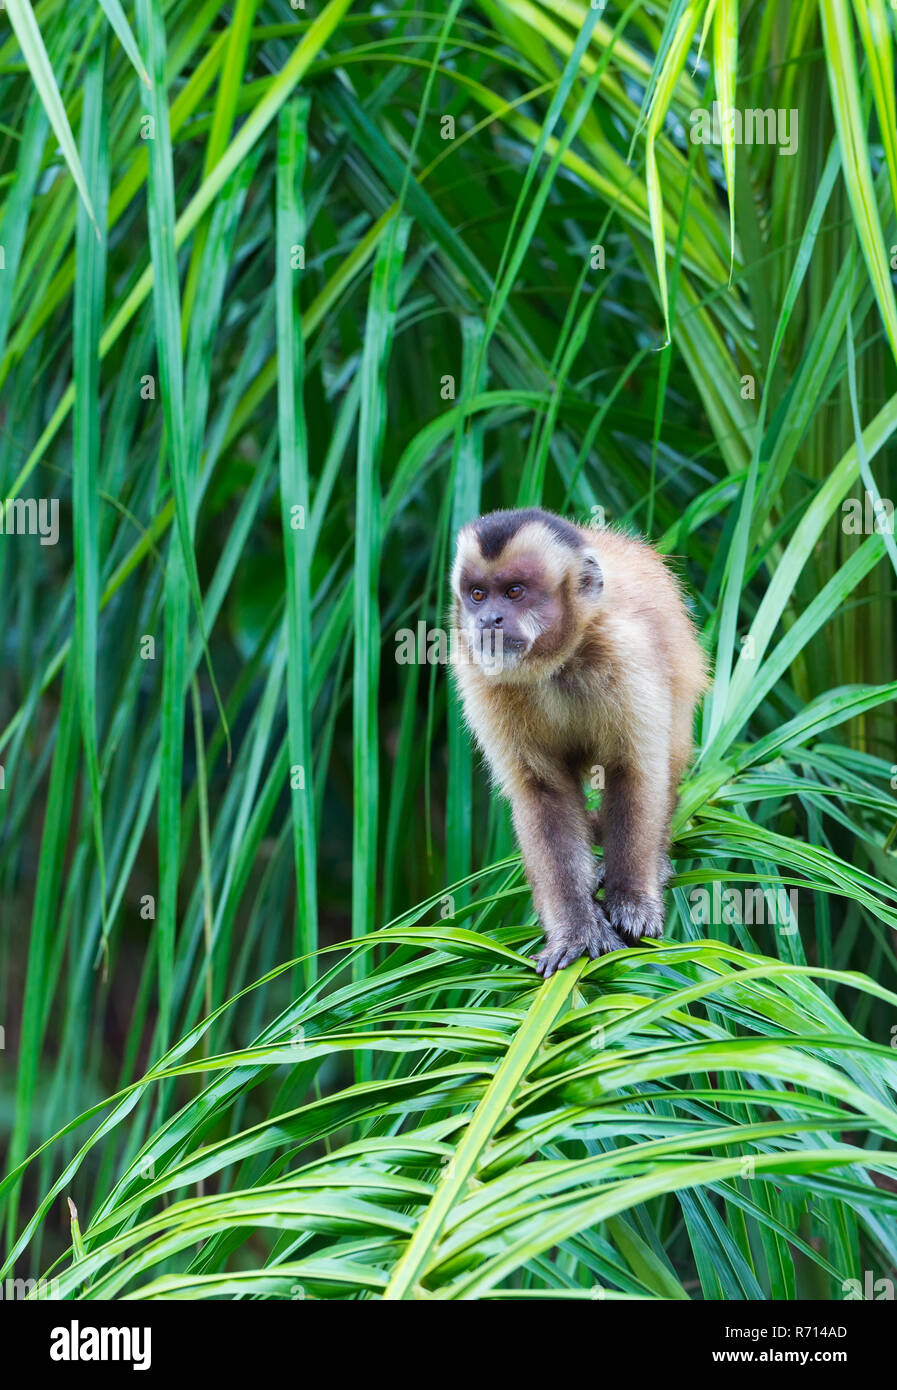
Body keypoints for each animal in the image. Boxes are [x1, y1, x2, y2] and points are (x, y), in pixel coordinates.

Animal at [447, 511, 706, 978]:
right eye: (477, 595)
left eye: (514, 592)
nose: (488, 619)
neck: (555, 664)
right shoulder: (480, 676)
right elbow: (542, 792)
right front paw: (576, 930)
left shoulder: (623, 652)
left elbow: (634, 771)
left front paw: (631, 901)